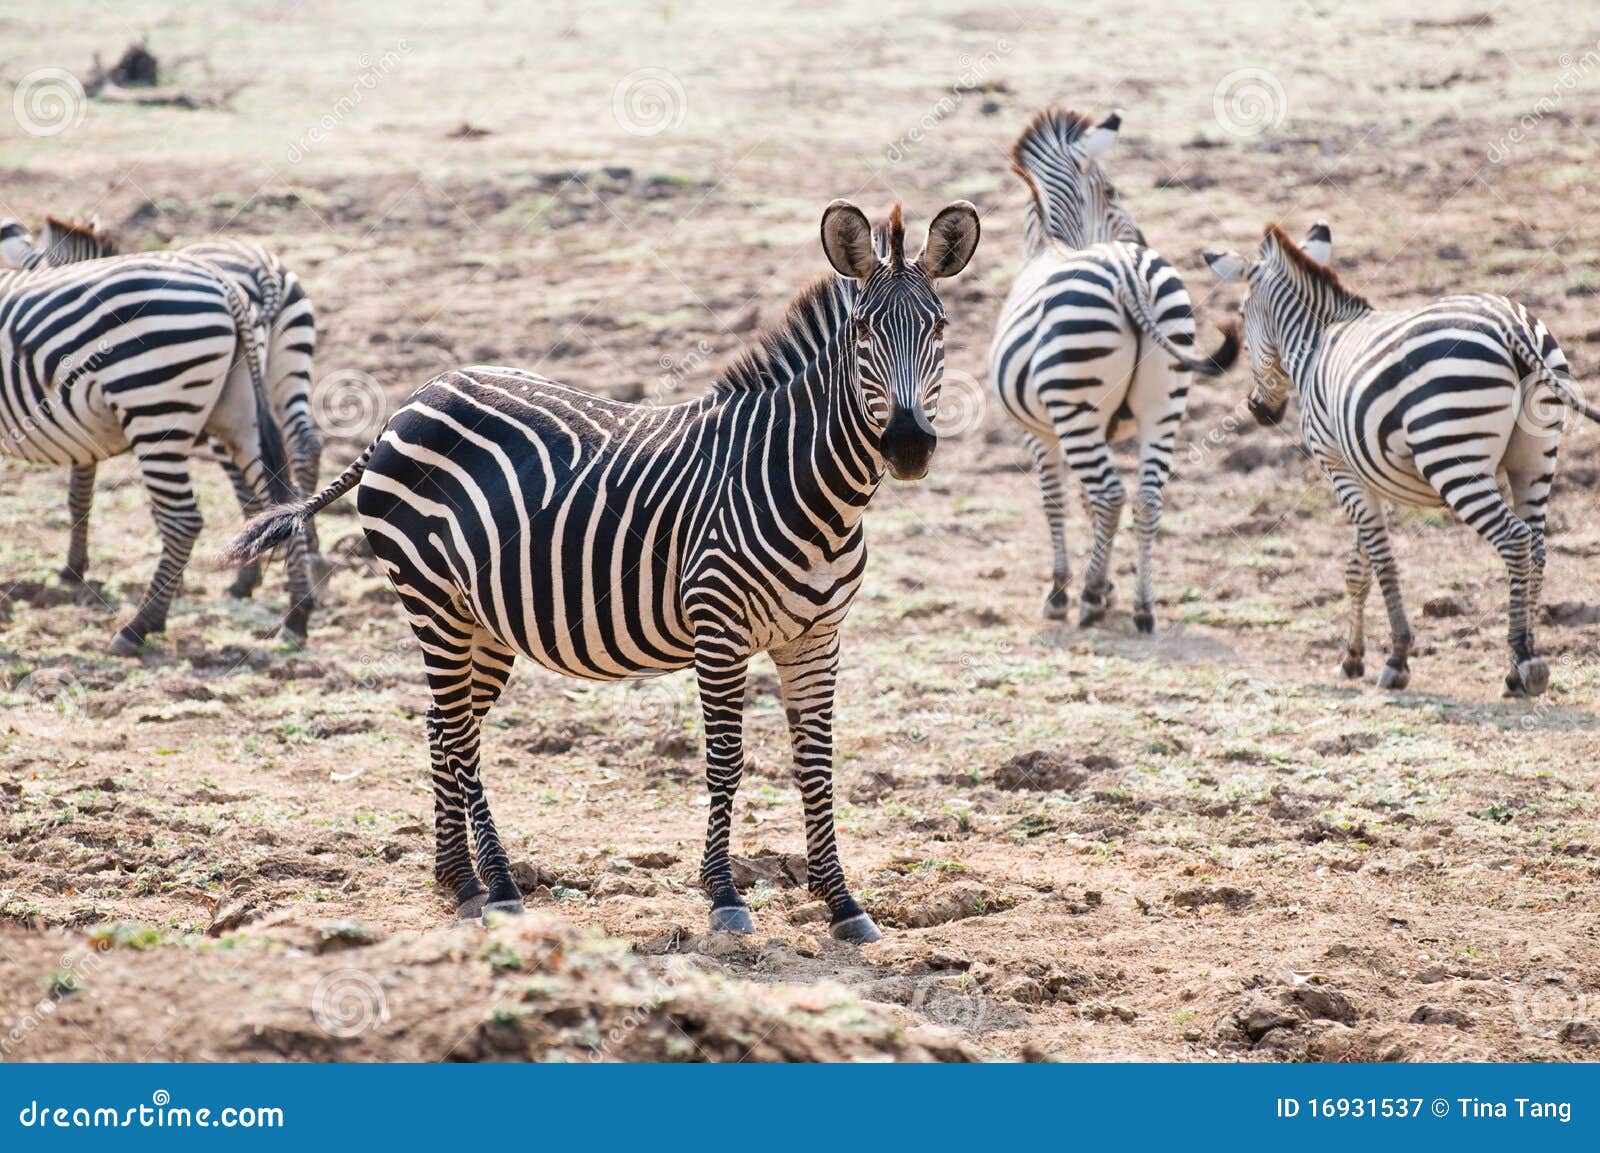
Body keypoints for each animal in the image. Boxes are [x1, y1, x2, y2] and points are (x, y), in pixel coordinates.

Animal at [0, 228, 315, 652]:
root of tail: (229, 283)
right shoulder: (81, 431)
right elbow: (80, 495)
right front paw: (74, 568)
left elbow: (78, 494)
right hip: (243, 409)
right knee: (285, 491)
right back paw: (296, 611)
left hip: (154, 402)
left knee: (183, 520)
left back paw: (139, 626)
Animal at [224, 200, 981, 938]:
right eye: (862, 333)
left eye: (939, 328)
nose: (908, 446)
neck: (811, 492)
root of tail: (409, 403)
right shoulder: (718, 627)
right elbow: (726, 757)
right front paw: (724, 894)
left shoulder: (818, 638)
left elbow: (817, 764)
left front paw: (842, 902)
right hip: (431, 599)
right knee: (460, 734)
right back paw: (498, 885)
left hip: (481, 619)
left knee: (443, 723)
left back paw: (457, 879)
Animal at [990, 108, 1238, 630]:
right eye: (1114, 191)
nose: (1140, 238)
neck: (1052, 243)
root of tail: (1129, 272)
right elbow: (1083, 502)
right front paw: (1106, 585)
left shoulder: (1038, 431)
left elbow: (1057, 500)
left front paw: (1066, 591)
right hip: (1163, 403)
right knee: (1146, 498)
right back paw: (1144, 607)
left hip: (1075, 405)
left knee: (1110, 494)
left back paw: (1084, 599)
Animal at [1204, 221, 1600, 696]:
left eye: (1242, 316)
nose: (1257, 410)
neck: (1316, 343)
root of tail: (1510, 327)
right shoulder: (1367, 475)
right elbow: (1359, 568)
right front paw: (1352, 658)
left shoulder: (1339, 469)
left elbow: (1382, 561)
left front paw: (1394, 659)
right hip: (1535, 459)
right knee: (1537, 545)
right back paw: (1517, 666)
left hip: (1453, 457)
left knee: (1516, 540)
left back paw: (1525, 659)